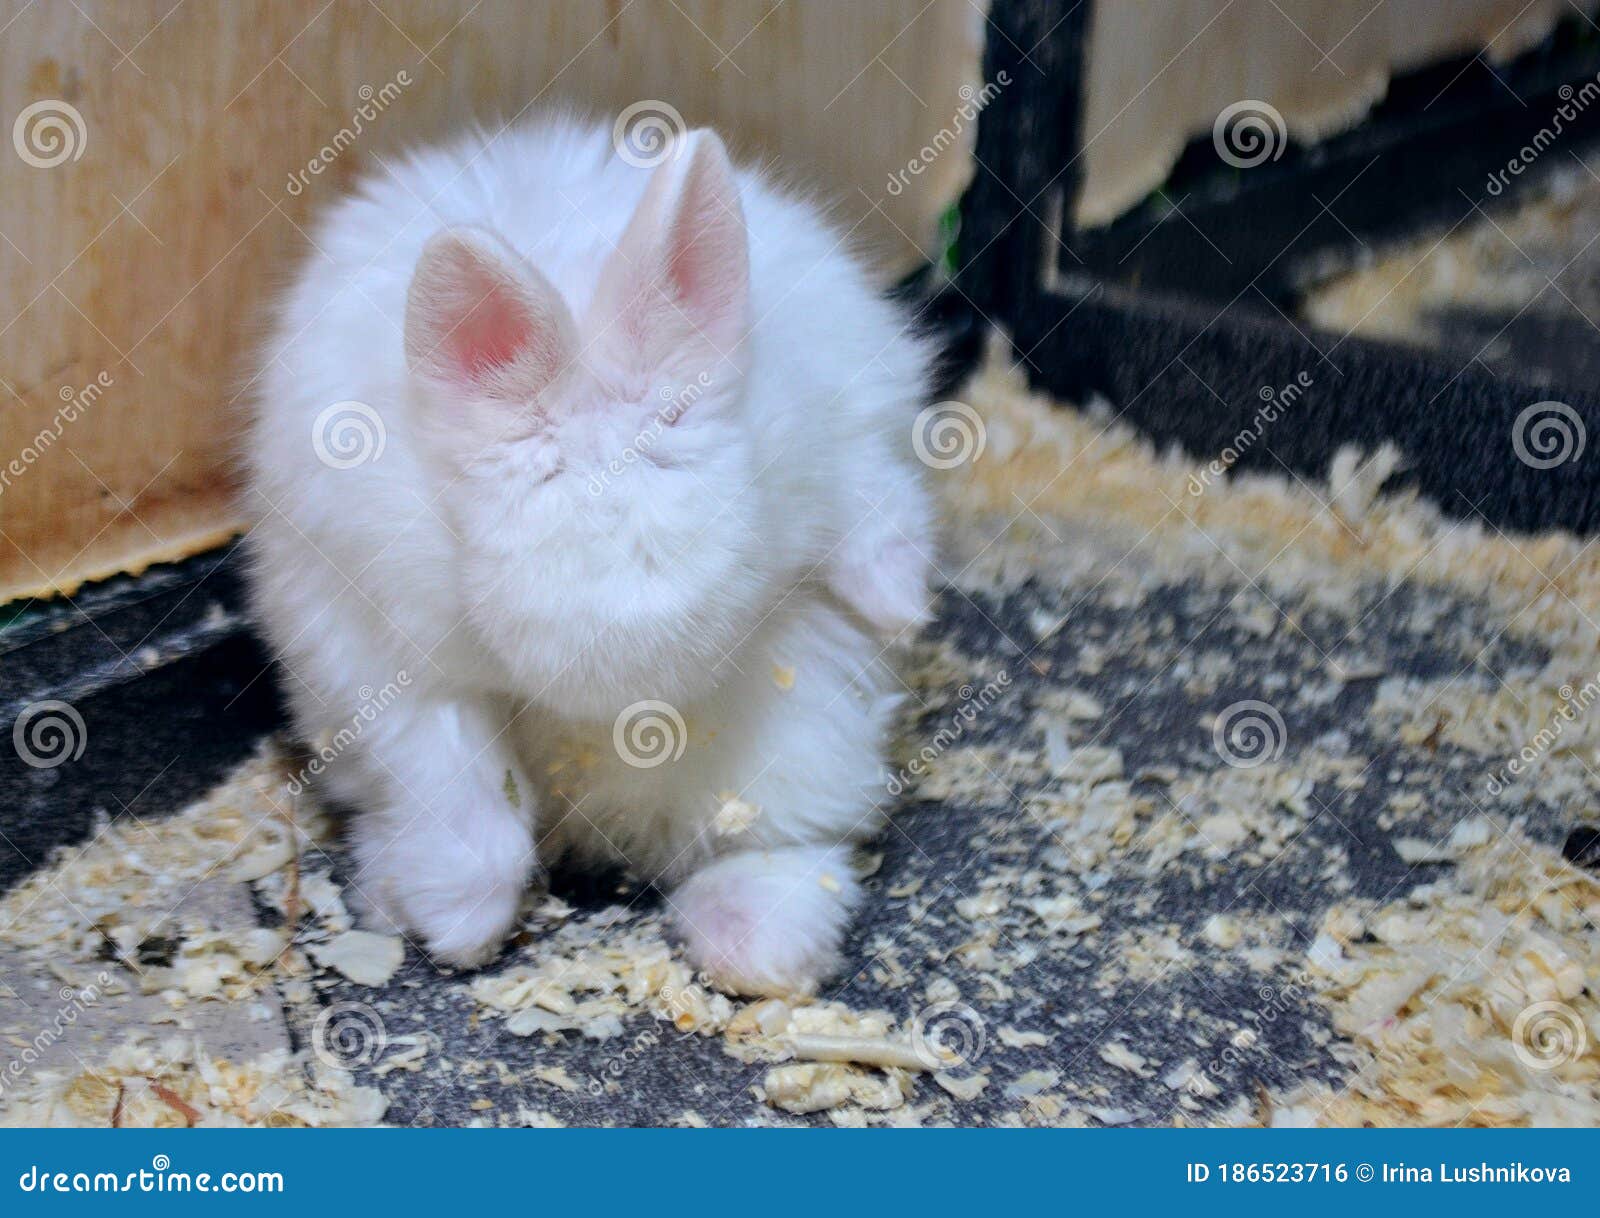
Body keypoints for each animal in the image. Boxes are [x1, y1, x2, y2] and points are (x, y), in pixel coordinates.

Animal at [243, 113, 936, 996]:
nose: (645, 713)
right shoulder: (382, 648)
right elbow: (460, 796)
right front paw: (460, 929)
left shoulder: (838, 435)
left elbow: (875, 508)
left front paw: (902, 604)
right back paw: (400, 898)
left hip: (807, 737)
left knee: (789, 841)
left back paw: (755, 945)